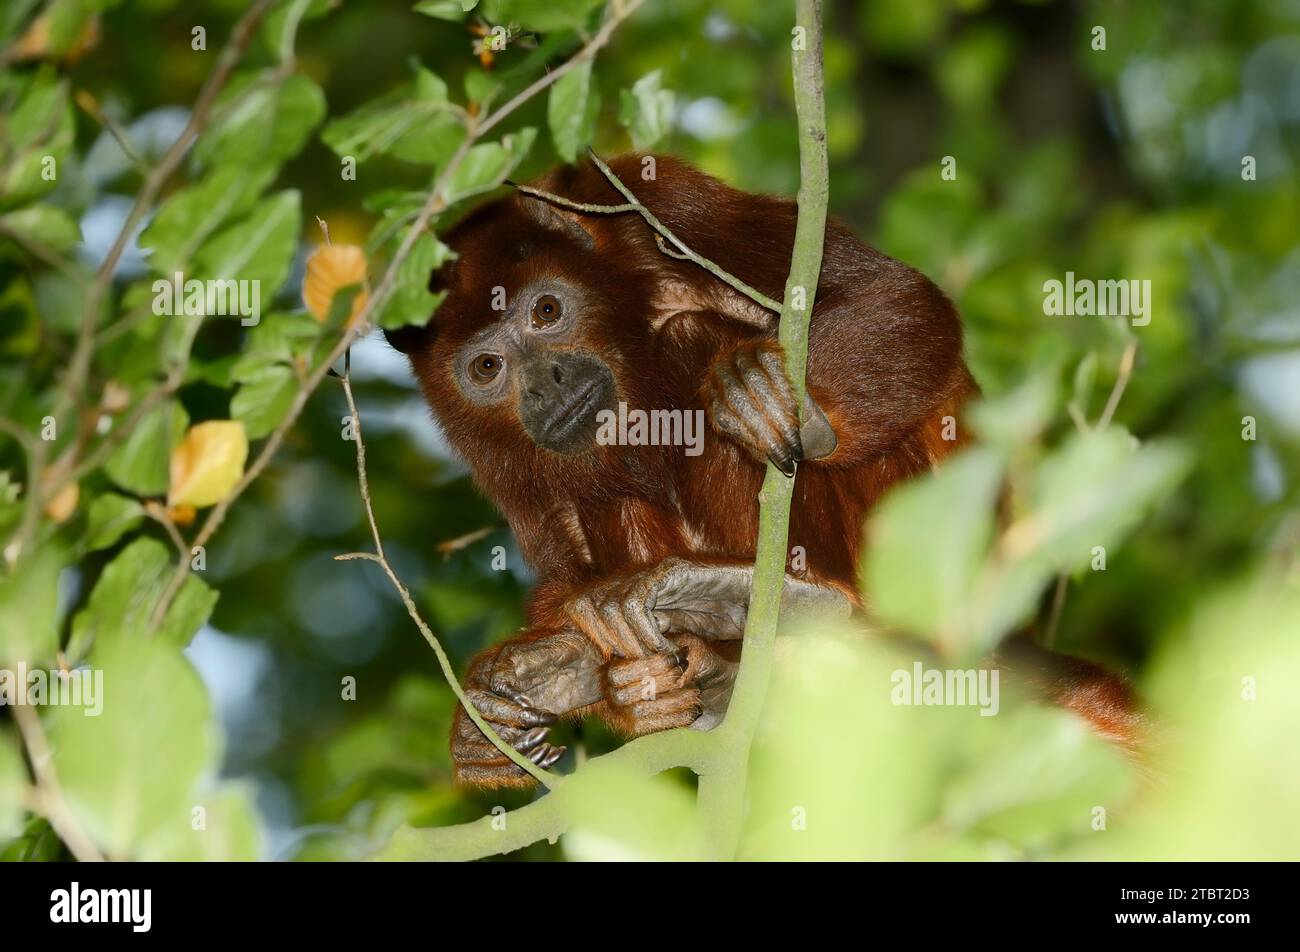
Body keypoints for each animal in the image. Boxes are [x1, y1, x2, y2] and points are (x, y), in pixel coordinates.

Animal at [386, 153, 1139, 787]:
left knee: (693, 343)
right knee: (609, 494)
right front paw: (567, 695)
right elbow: (565, 573)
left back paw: (781, 600)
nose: (549, 384)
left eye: (546, 310)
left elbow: (896, 297)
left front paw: (762, 395)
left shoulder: (656, 201)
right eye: (487, 368)